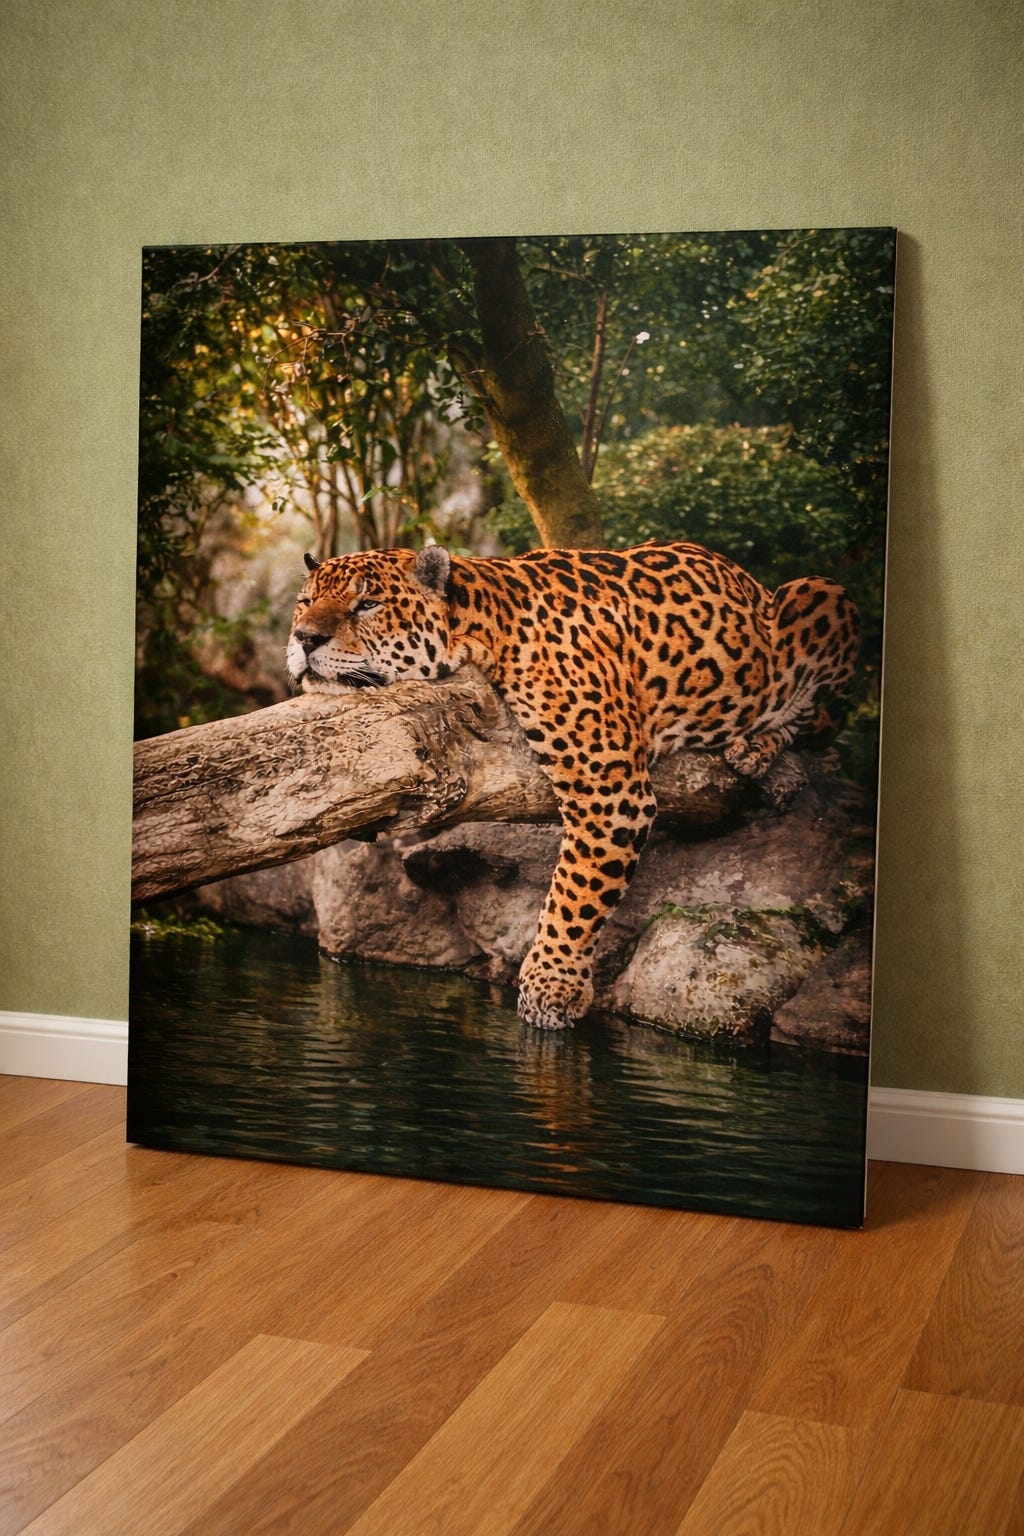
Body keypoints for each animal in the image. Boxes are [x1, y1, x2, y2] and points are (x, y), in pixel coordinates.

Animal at [286, 541, 860, 1030]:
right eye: (306, 602)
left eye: (368, 604)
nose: (304, 639)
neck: (486, 625)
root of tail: (750, 580)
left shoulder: (609, 787)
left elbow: (575, 892)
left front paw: (551, 988)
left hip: (823, 594)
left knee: (809, 711)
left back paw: (756, 745)